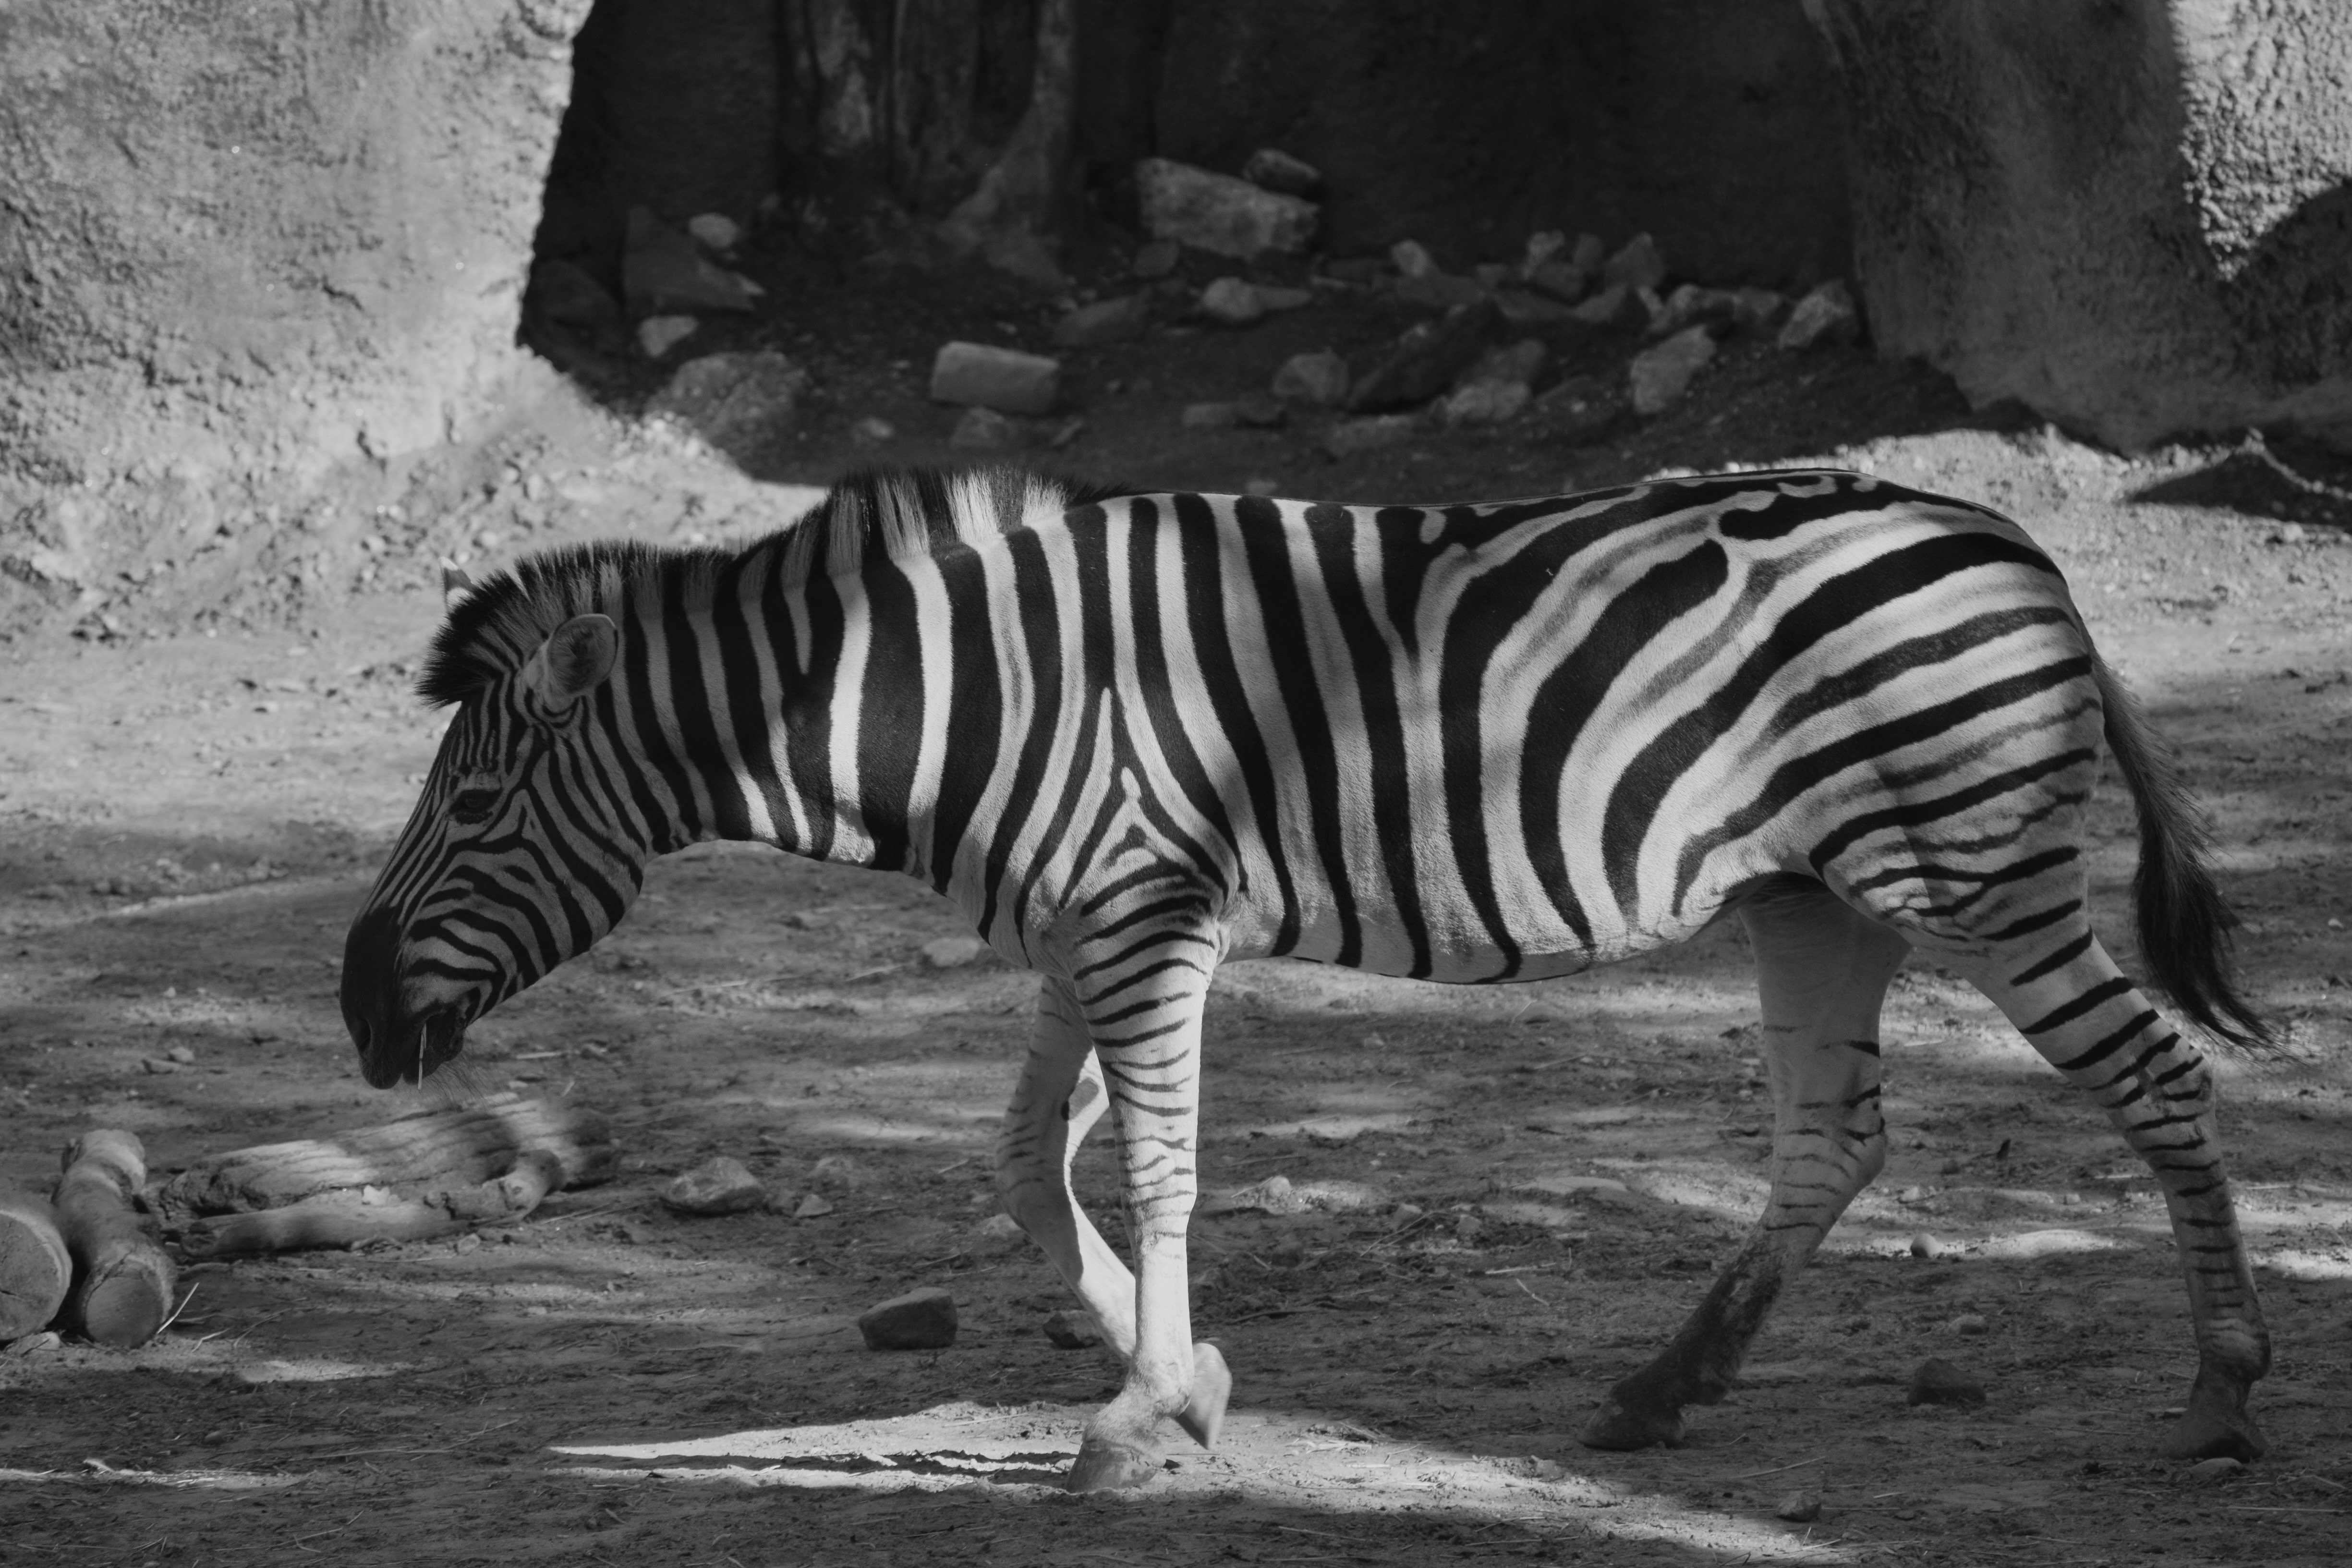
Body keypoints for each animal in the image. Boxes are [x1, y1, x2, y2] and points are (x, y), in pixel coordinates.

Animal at [340, 464, 2273, 1490]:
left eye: (479, 803)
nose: (355, 1011)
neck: (967, 696)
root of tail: (2017, 543)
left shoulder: (1144, 905)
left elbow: (1154, 1160)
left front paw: (1139, 1415)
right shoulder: (1086, 923)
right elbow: (1025, 1162)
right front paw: (1175, 1369)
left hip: (1972, 867)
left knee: (2159, 1076)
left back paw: (2221, 1387)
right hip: (1816, 890)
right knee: (1833, 1138)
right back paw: (1663, 1383)